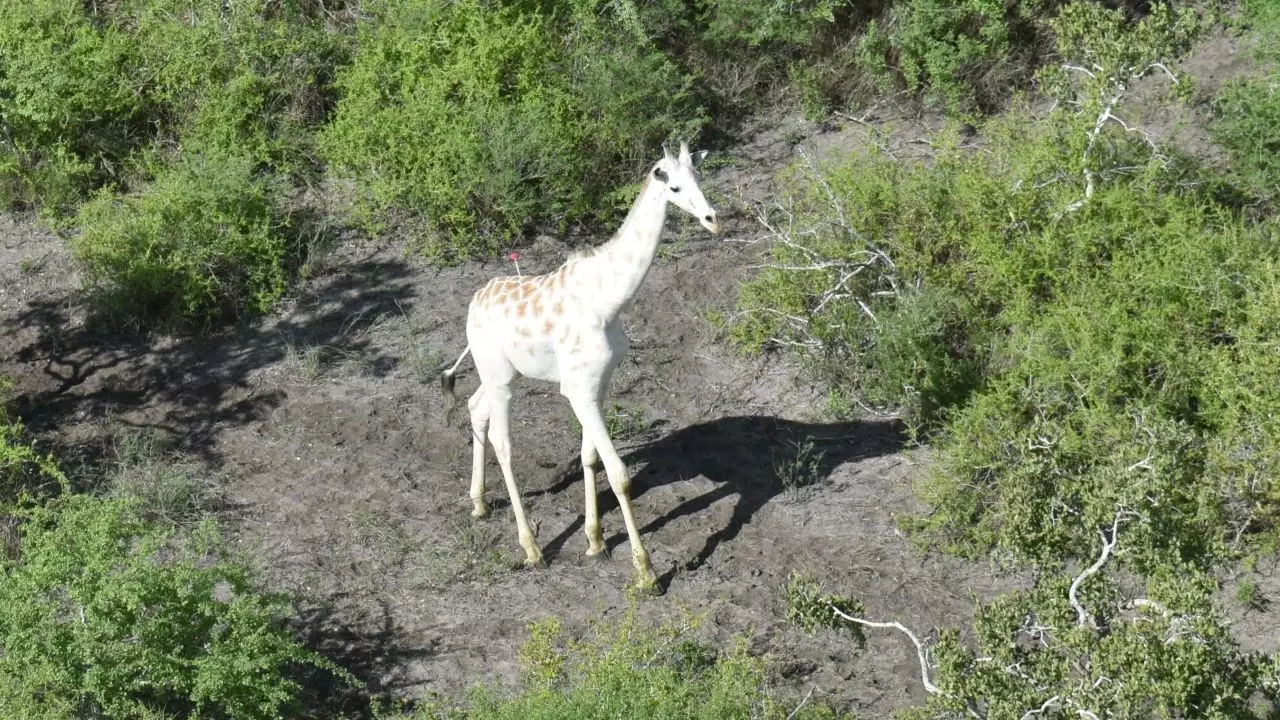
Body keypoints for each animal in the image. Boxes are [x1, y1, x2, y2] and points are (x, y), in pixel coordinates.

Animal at [440, 140, 721, 589]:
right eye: (674, 187)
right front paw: (646, 573)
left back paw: (479, 504)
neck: (609, 300)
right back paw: (532, 549)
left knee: (474, 407)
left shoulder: (600, 383)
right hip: (500, 378)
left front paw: (595, 542)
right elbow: (619, 474)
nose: (713, 221)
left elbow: (590, 458)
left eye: (700, 176)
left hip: (501, 372)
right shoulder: (578, 388)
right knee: (503, 441)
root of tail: (473, 304)